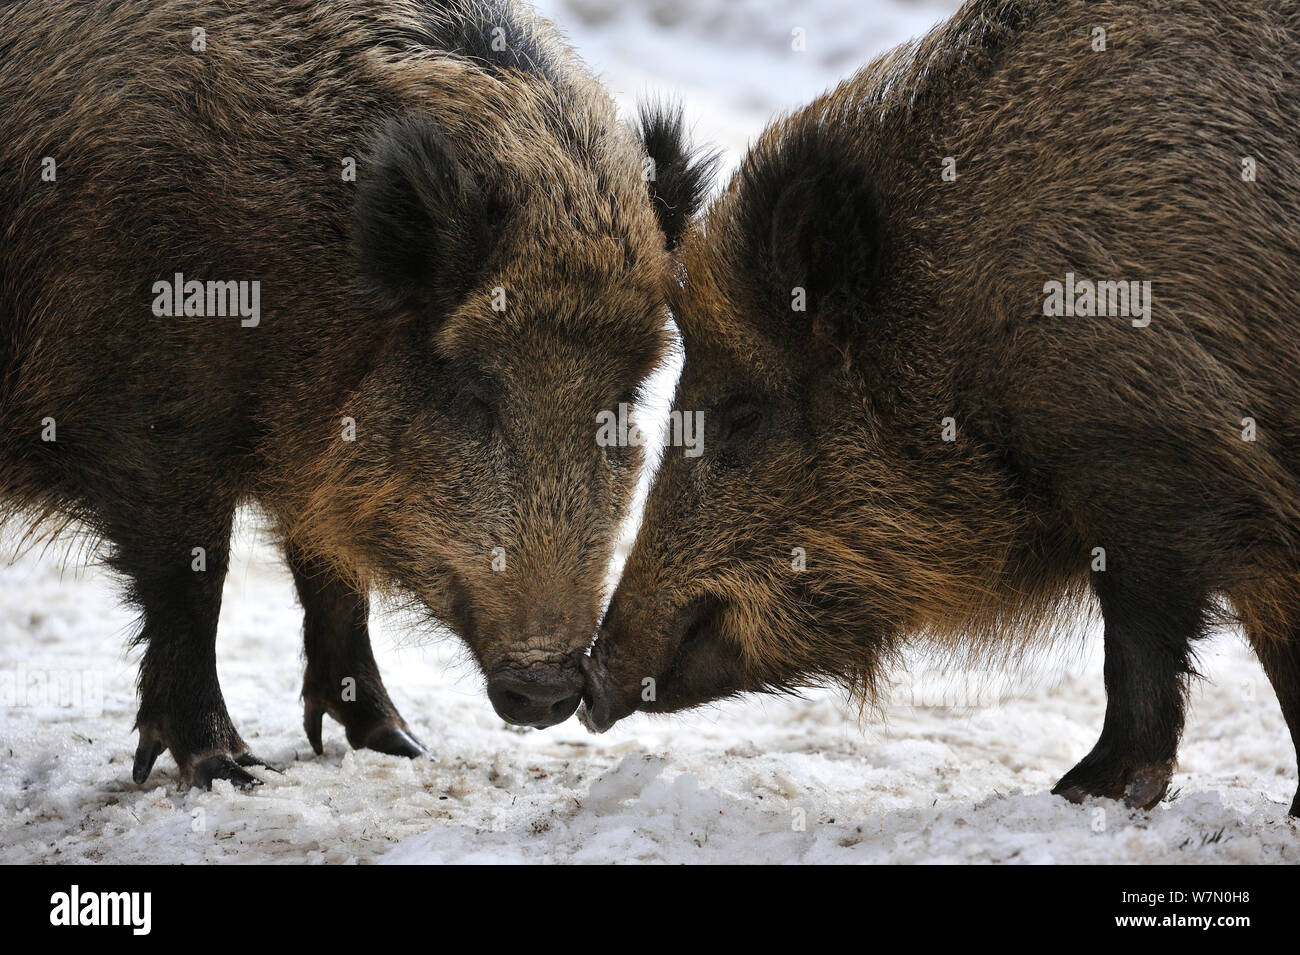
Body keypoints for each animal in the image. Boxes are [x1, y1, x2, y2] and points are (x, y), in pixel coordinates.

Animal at [0, 0, 714, 788]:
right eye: (472, 389)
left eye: (623, 399)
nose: (547, 688)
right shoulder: (144, 425)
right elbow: (193, 587)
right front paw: (233, 770)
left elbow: (336, 580)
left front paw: (398, 743)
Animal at [582, 0, 1300, 816]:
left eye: (743, 414)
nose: (589, 685)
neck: (950, 326)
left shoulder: (1146, 462)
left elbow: (1141, 644)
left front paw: (1081, 790)